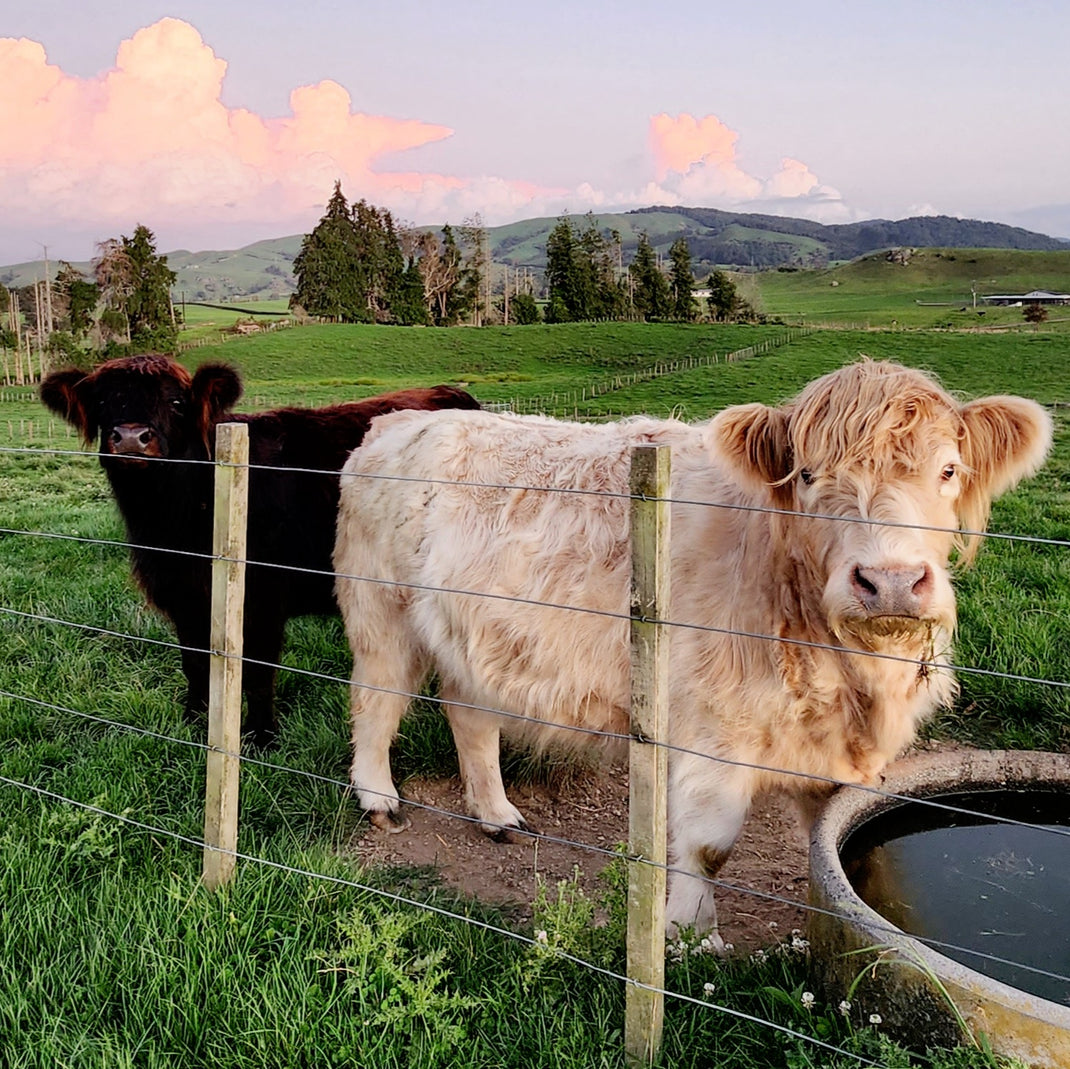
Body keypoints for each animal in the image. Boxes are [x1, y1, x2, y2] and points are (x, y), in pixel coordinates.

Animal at [40, 354, 480, 745]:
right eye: (102, 402)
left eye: (176, 402)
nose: (132, 437)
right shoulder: (184, 599)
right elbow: (193, 663)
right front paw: (193, 719)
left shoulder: (263, 600)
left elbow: (256, 672)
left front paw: (261, 735)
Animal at [331, 359, 1051, 941]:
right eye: (809, 474)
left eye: (948, 470)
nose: (891, 581)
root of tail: (398, 422)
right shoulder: (711, 736)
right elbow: (708, 849)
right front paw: (690, 937)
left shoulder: (829, 757)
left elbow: (832, 844)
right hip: (382, 616)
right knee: (374, 703)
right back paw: (378, 799)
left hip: (468, 637)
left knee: (469, 716)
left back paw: (495, 812)